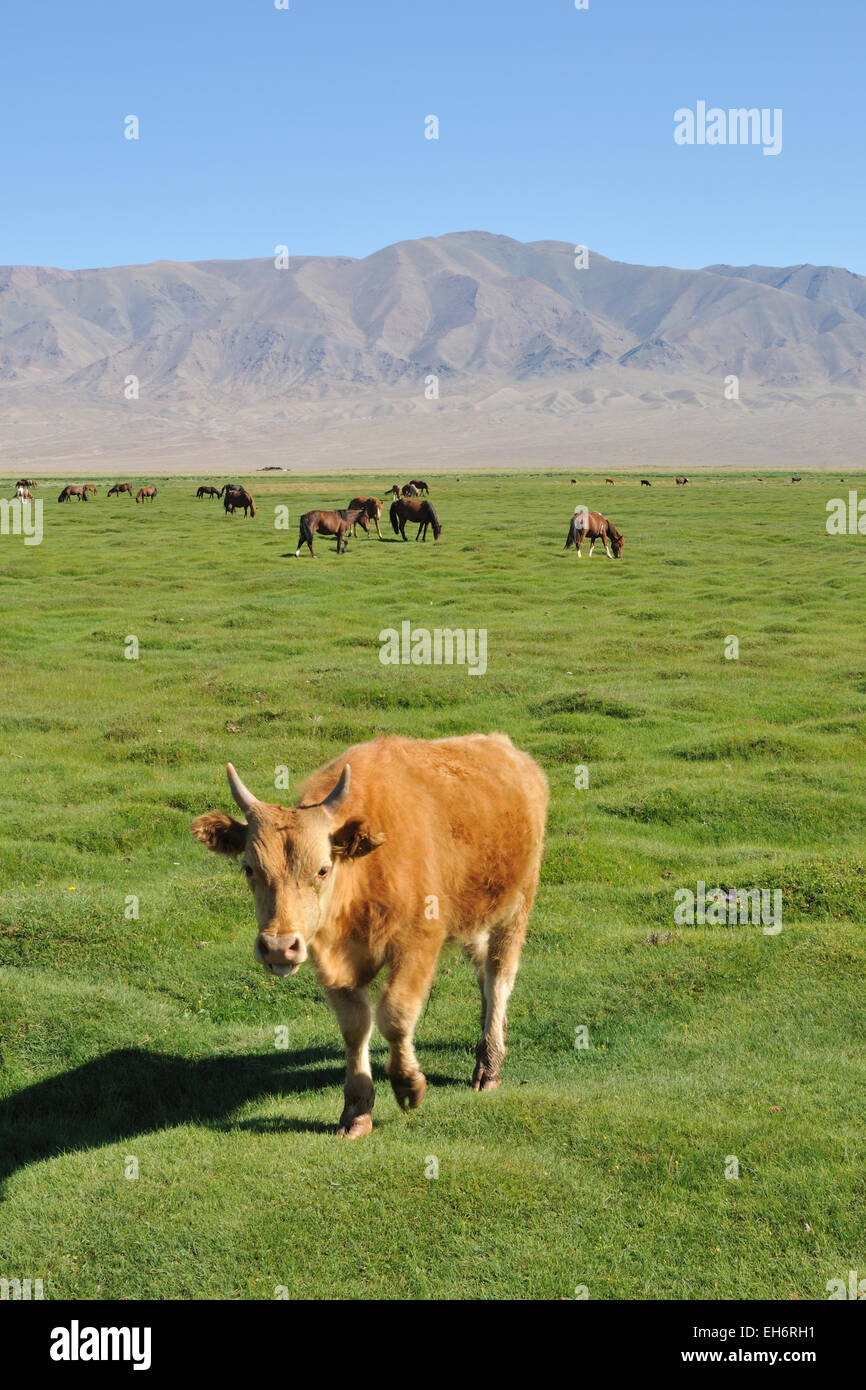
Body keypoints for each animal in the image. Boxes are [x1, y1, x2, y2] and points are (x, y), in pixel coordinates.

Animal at [191, 733, 548, 1138]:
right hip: (476, 916)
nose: (279, 947)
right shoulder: (327, 959)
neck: (363, 876)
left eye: (322, 869)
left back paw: (489, 1063)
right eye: (249, 868)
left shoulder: (419, 943)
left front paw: (408, 1084)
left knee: (500, 976)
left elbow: (395, 1014)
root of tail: (505, 748)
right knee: (483, 974)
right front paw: (357, 1110)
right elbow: (355, 1026)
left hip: (516, 905)